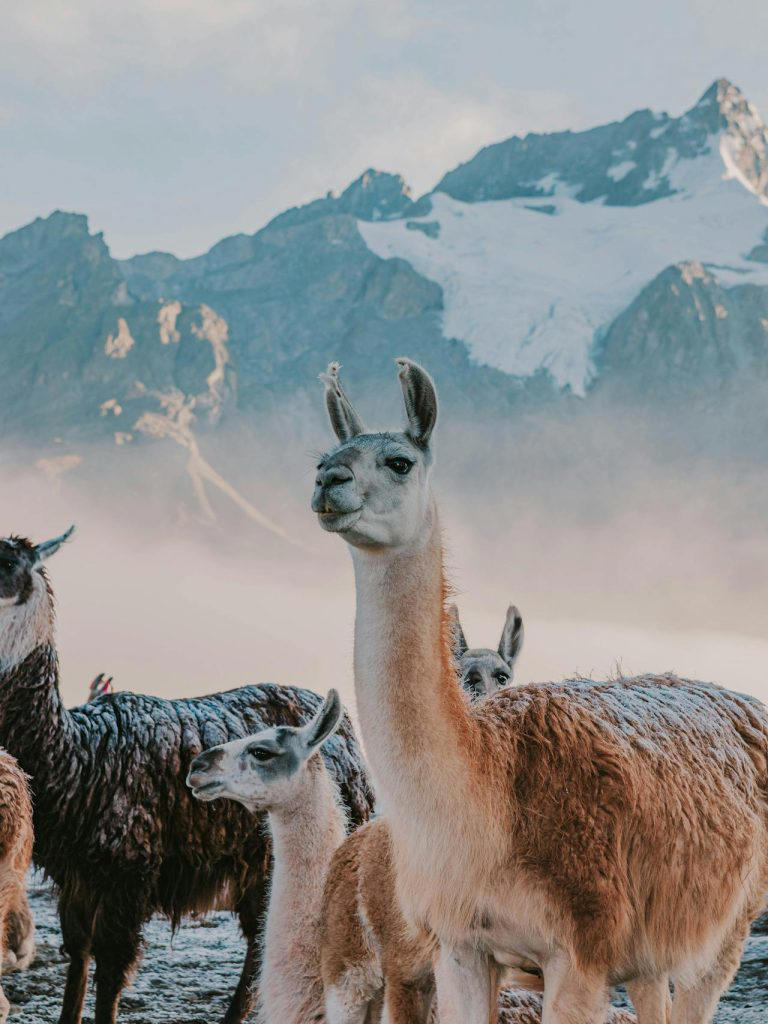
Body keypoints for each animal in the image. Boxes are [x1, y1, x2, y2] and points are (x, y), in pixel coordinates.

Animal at [310, 358, 768, 1024]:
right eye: (323, 456)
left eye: (399, 461)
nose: (329, 481)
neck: (487, 795)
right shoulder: (461, 946)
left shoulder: (580, 946)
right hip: (649, 958)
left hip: (722, 933)